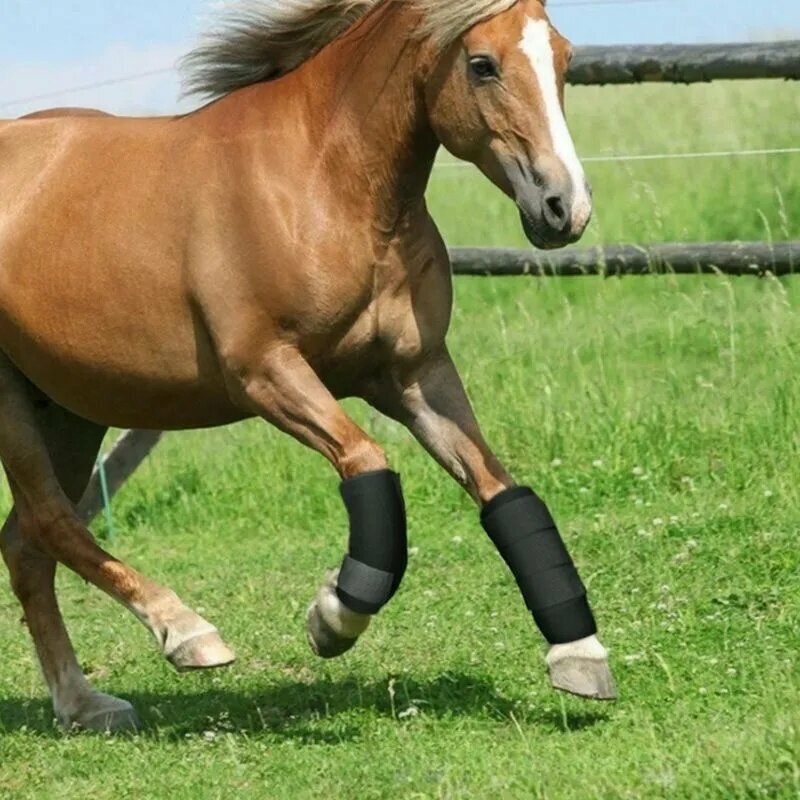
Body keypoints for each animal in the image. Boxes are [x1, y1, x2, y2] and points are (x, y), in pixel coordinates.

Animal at [0, 0, 614, 733]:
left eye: (565, 58)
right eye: (482, 64)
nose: (565, 209)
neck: (325, 185)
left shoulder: (416, 374)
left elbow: (502, 490)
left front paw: (580, 656)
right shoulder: (267, 372)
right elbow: (369, 463)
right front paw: (332, 618)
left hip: (68, 407)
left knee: (26, 543)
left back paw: (83, 703)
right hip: (12, 404)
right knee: (50, 524)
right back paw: (187, 634)